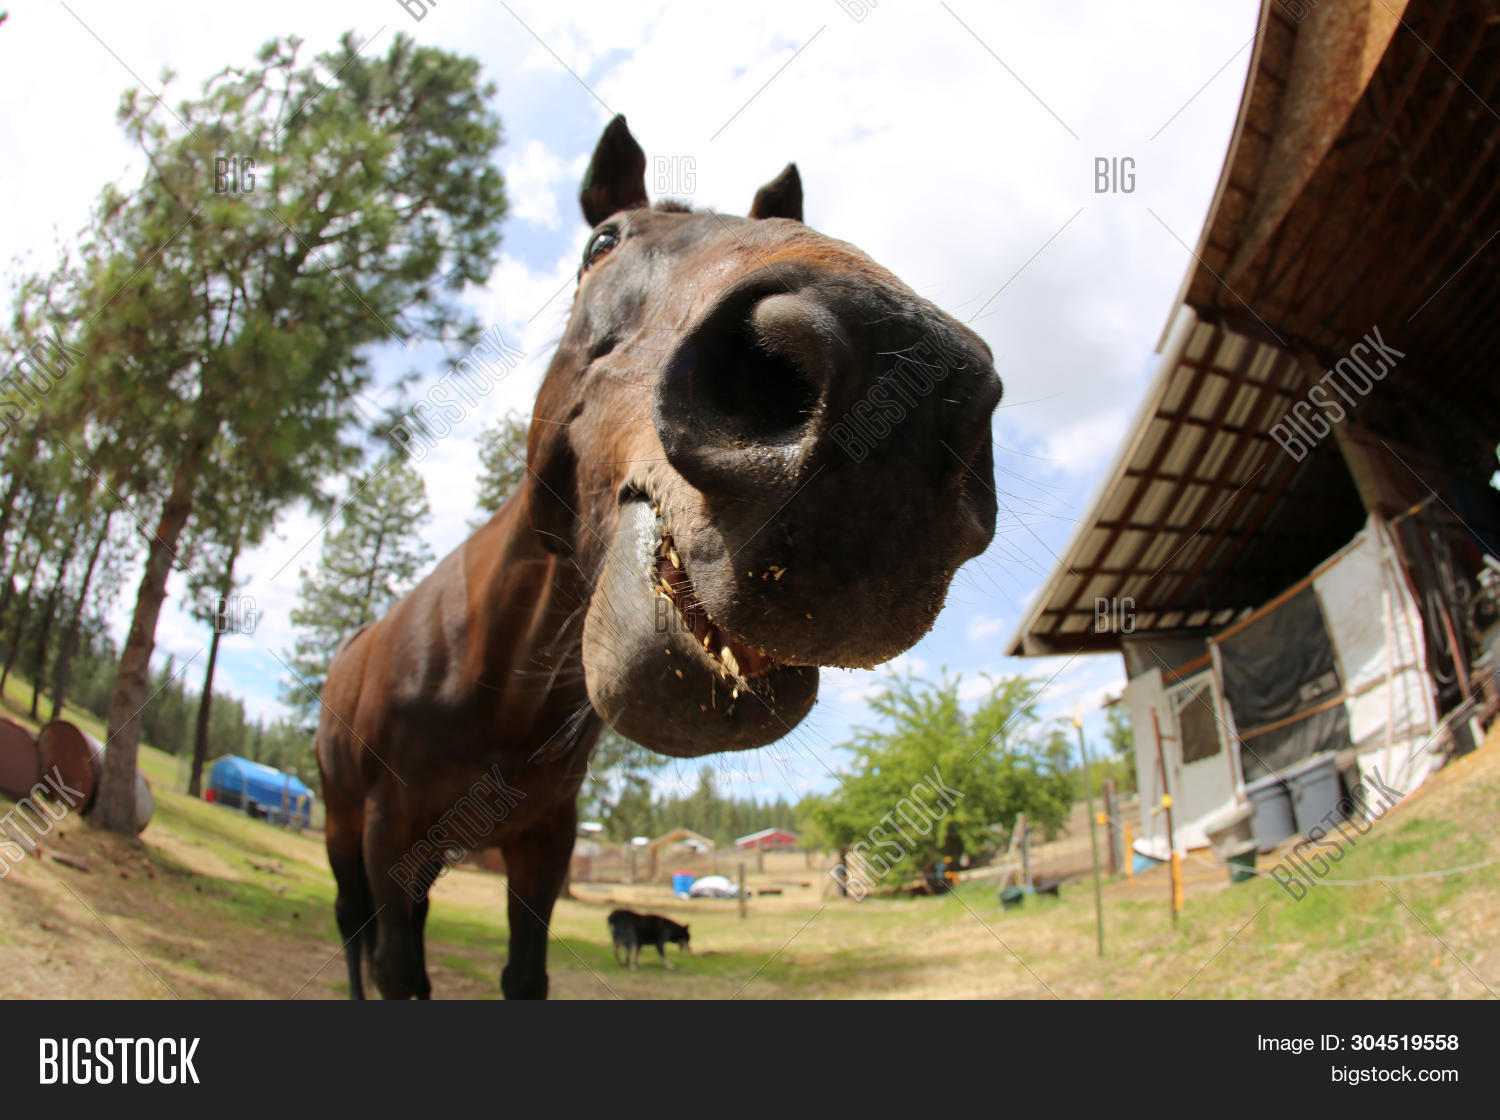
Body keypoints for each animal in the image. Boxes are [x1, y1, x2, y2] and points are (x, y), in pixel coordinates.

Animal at [315, 115, 1002, 999]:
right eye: (601, 242)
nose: (901, 394)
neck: (498, 685)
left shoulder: (542, 847)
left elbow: (523, 977)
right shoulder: (387, 835)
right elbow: (400, 974)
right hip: (343, 829)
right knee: (349, 930)